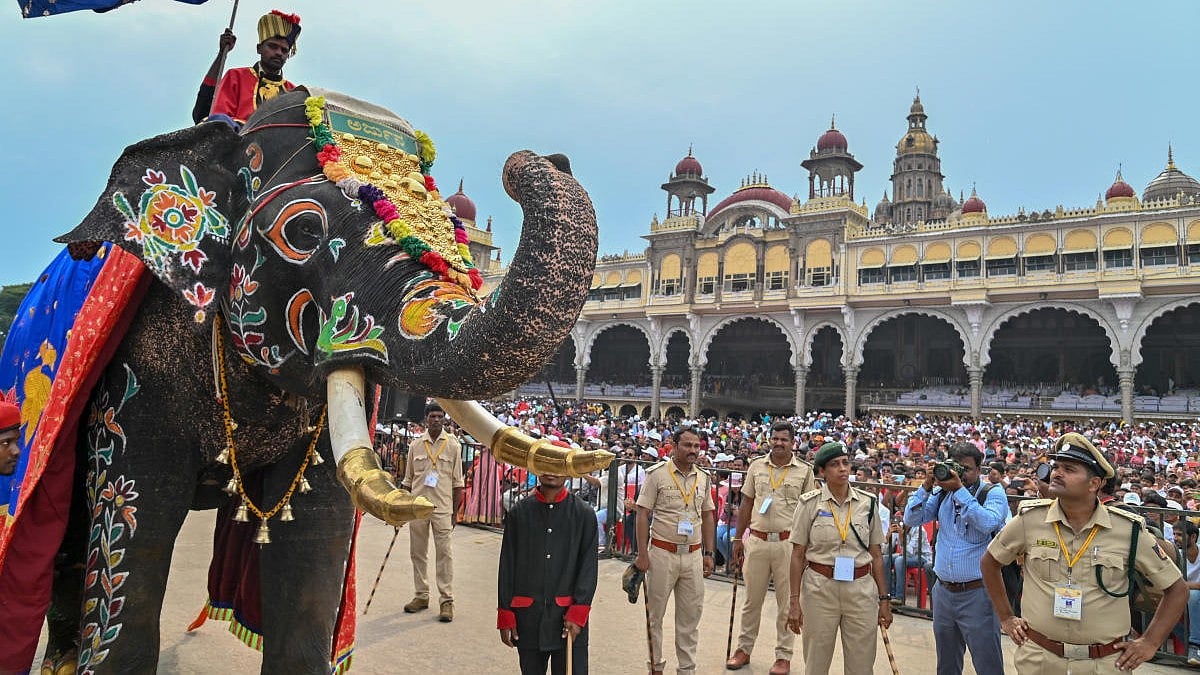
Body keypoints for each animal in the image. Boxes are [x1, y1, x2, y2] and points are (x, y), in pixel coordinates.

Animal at [7, 87, 610, 674]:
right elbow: (135, 520)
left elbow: (314, 543)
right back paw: (60, 660)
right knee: (68, 532)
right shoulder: (136, 375)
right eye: (302, 230)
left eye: (455, 236)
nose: (543, 159)